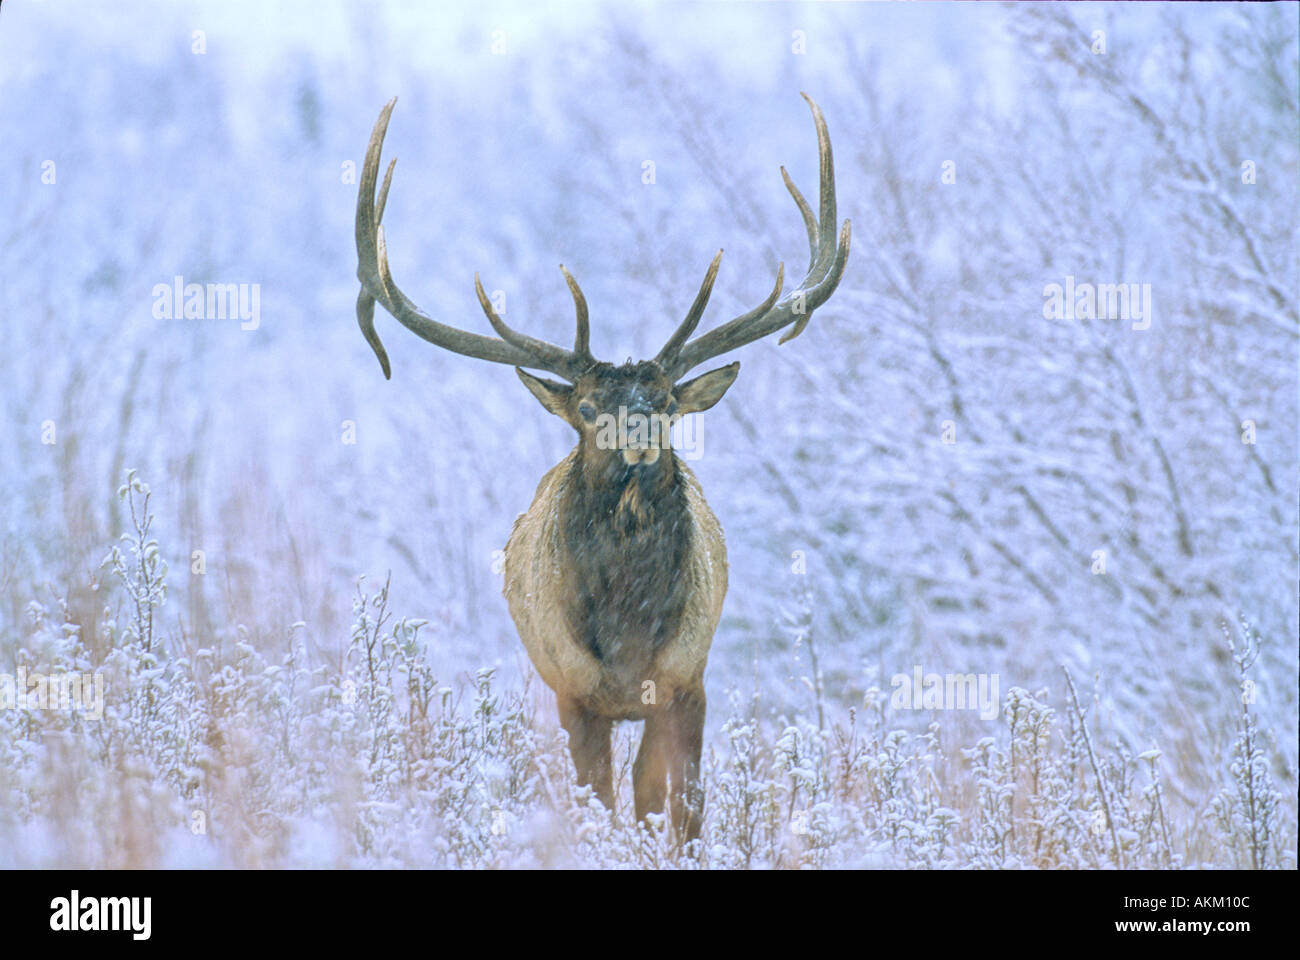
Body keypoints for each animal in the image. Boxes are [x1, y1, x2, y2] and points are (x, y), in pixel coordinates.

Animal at [353, 94, 849, 842]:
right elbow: (600, 804)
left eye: (668, 402)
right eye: (587, 407)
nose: (638, 430)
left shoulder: (686, 678)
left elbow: (675, 805)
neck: (626, 632)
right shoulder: (573, 691)